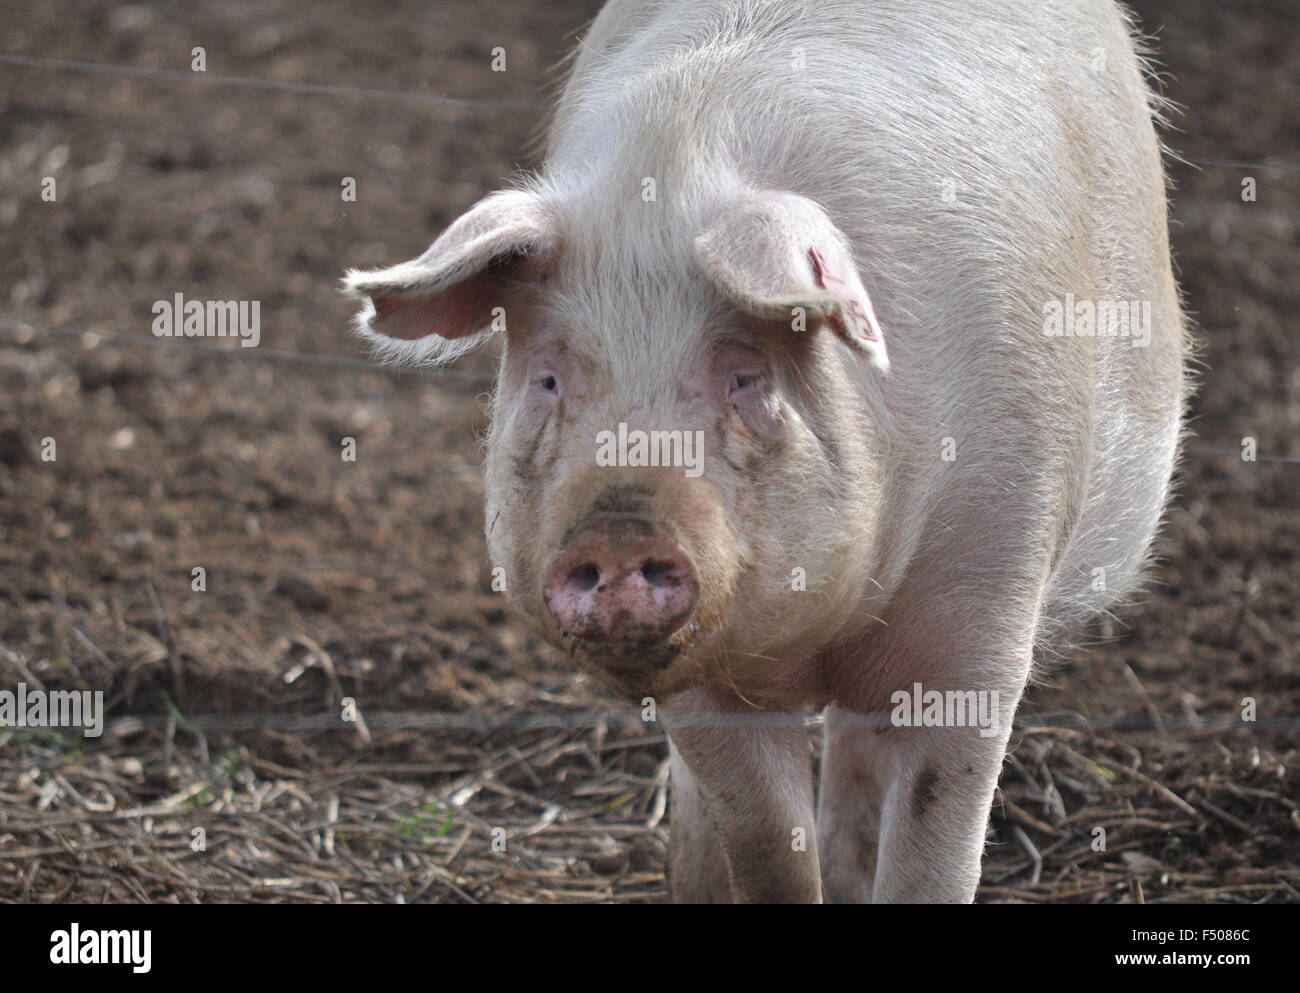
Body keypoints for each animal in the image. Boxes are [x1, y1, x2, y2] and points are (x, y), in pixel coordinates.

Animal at [343, 0, 1188, 903]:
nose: (617, 530)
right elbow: (766, 846)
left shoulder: (987, 607)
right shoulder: (705, 689)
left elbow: (933, 845)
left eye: (745, 375)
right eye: (547, 378)